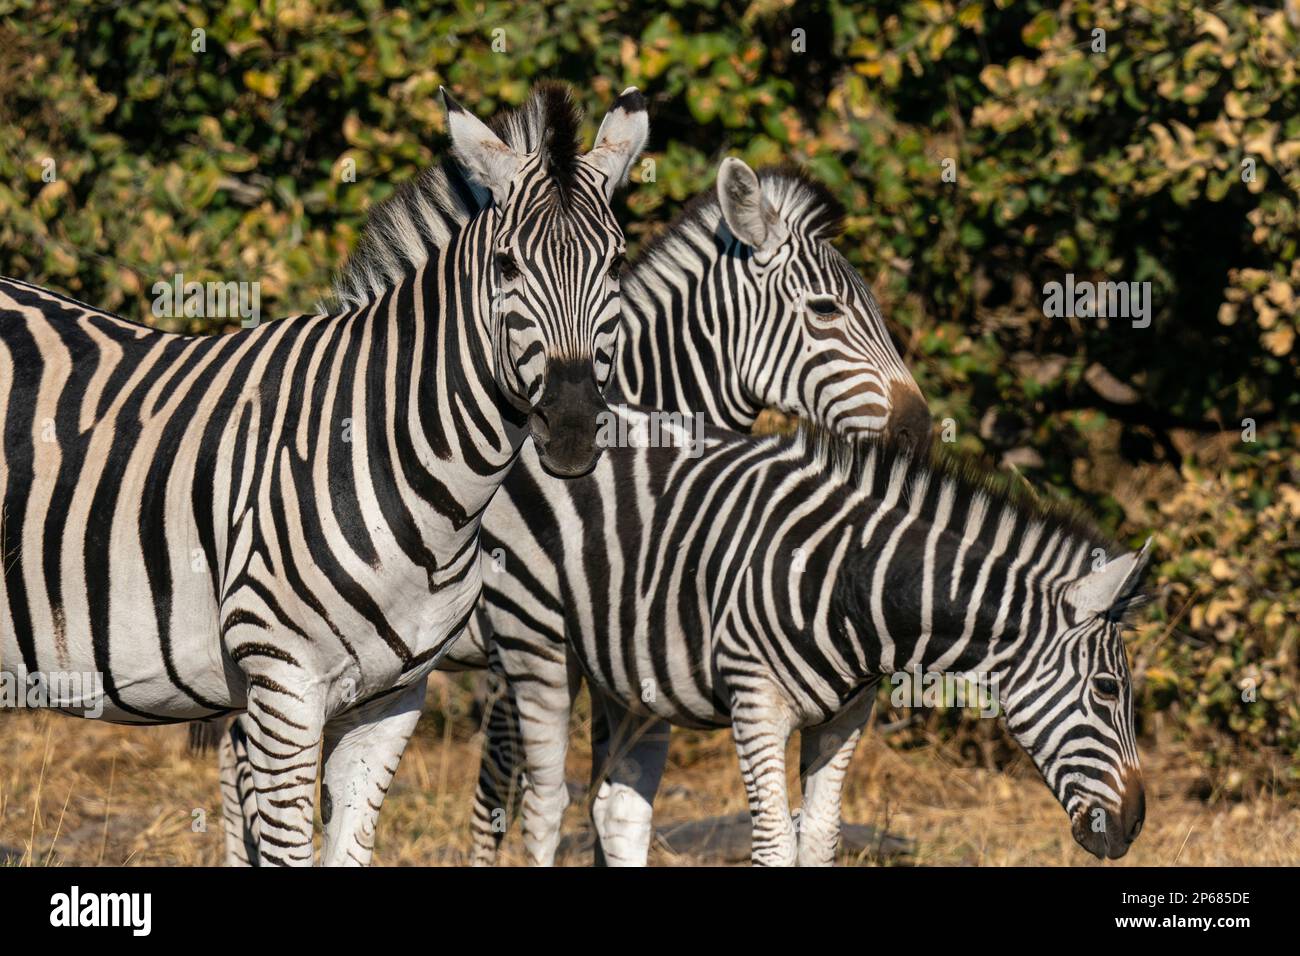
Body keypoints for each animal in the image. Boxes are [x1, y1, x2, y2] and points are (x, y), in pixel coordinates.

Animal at [213, 157, 934, 864]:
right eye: (825, 310)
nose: (920, 428)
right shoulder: (519, 643)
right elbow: (503, 799)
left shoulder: (615, 653)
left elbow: (607, 798)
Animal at [474, 411, 1151, 865]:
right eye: (1107, 689)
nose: (1133, 827)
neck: (852, 581)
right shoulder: (756, 706)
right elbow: (774, 843)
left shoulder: (845, 717)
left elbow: (821, 839)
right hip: (535, 644)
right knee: (541, 807)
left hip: (627, 674)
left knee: (617, 811)